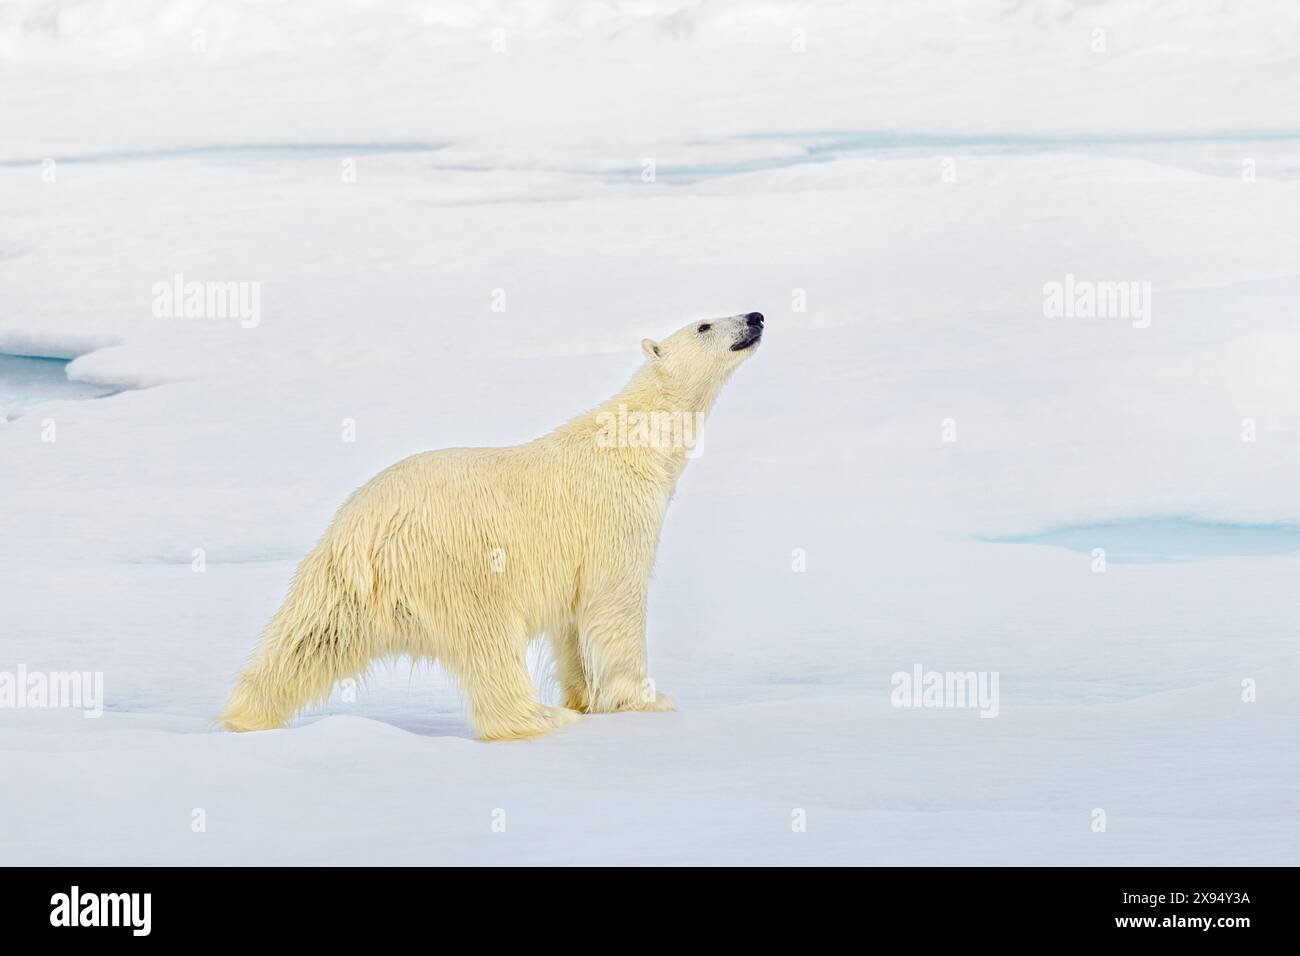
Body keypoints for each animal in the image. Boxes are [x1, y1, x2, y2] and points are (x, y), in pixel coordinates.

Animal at [220, 311, 765, 740]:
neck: (634, 444)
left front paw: (583, 697)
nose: (756, 316)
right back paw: (539, 718)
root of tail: (365, 534)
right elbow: (615, 604)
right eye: (704, 324)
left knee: (306, 641)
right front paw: (647, 700)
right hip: (461, 564)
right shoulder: (613, 518)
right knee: (490, 642)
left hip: (335, 579)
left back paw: (243, 715)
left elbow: (572, 626)